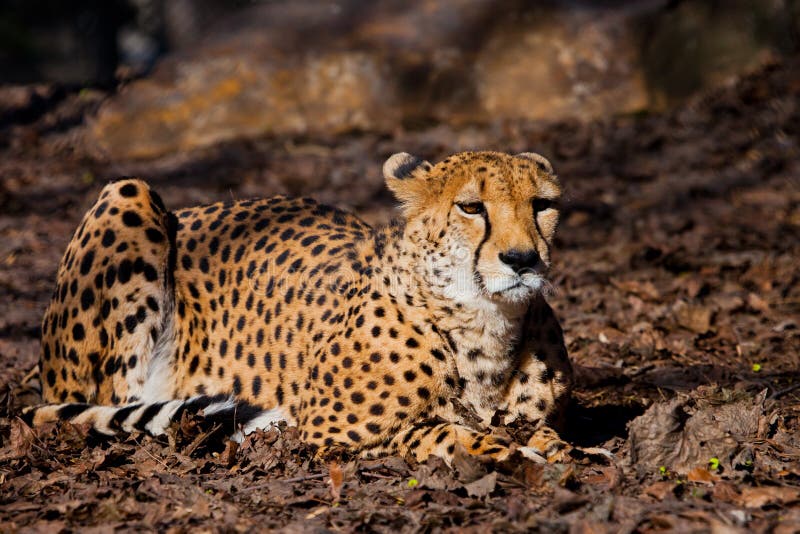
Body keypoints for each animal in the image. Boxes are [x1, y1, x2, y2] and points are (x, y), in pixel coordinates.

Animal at [21, 150, 573, 465]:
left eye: (542, 205)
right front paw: (490, 445)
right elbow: (428, 431)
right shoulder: (325, 434)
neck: (485, 325)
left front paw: (552, 446)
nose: (523, 259)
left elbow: (543, 430)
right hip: (128, 194)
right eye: (471, 207)